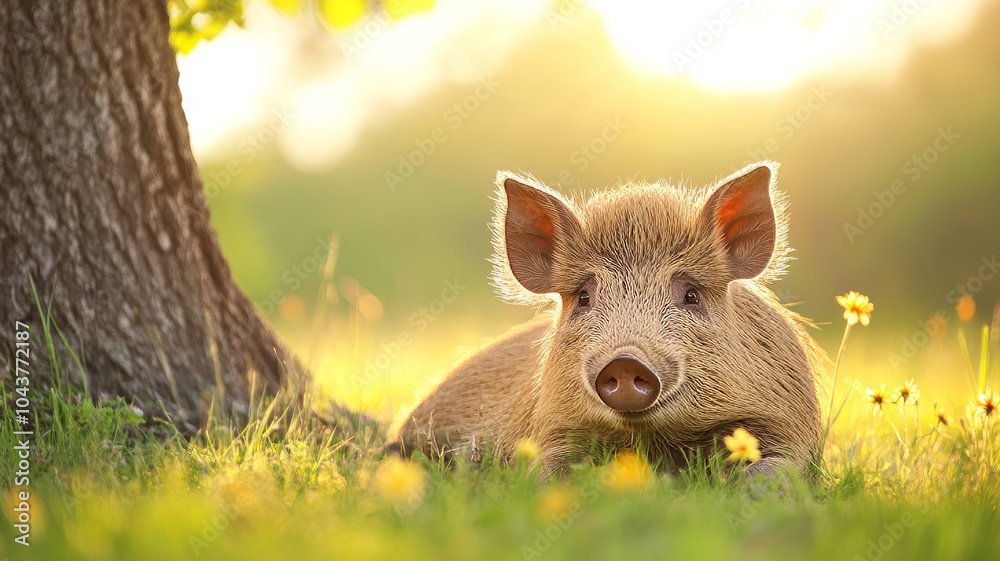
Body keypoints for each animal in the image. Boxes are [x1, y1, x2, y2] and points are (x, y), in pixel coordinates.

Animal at [388, 161, 827, 477]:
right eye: (583, 297)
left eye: (691, 294)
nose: (627, 360)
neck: (653, 443)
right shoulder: (552, 430)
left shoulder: (789, 425)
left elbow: (775, 470)